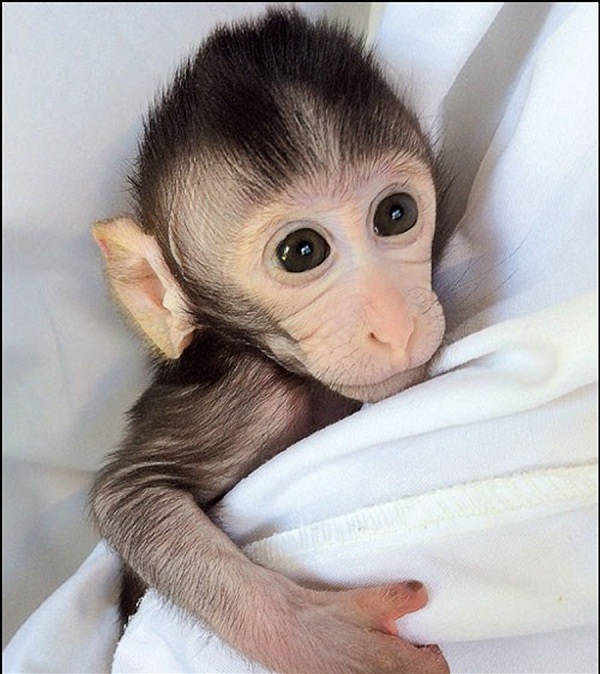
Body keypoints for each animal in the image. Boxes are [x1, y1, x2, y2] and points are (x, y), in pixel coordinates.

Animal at [91, 9, 454, 674]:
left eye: (396, 214)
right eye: (301, 251)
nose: (395, 324)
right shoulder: (248, 394)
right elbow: (131, 495)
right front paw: (323, 639)